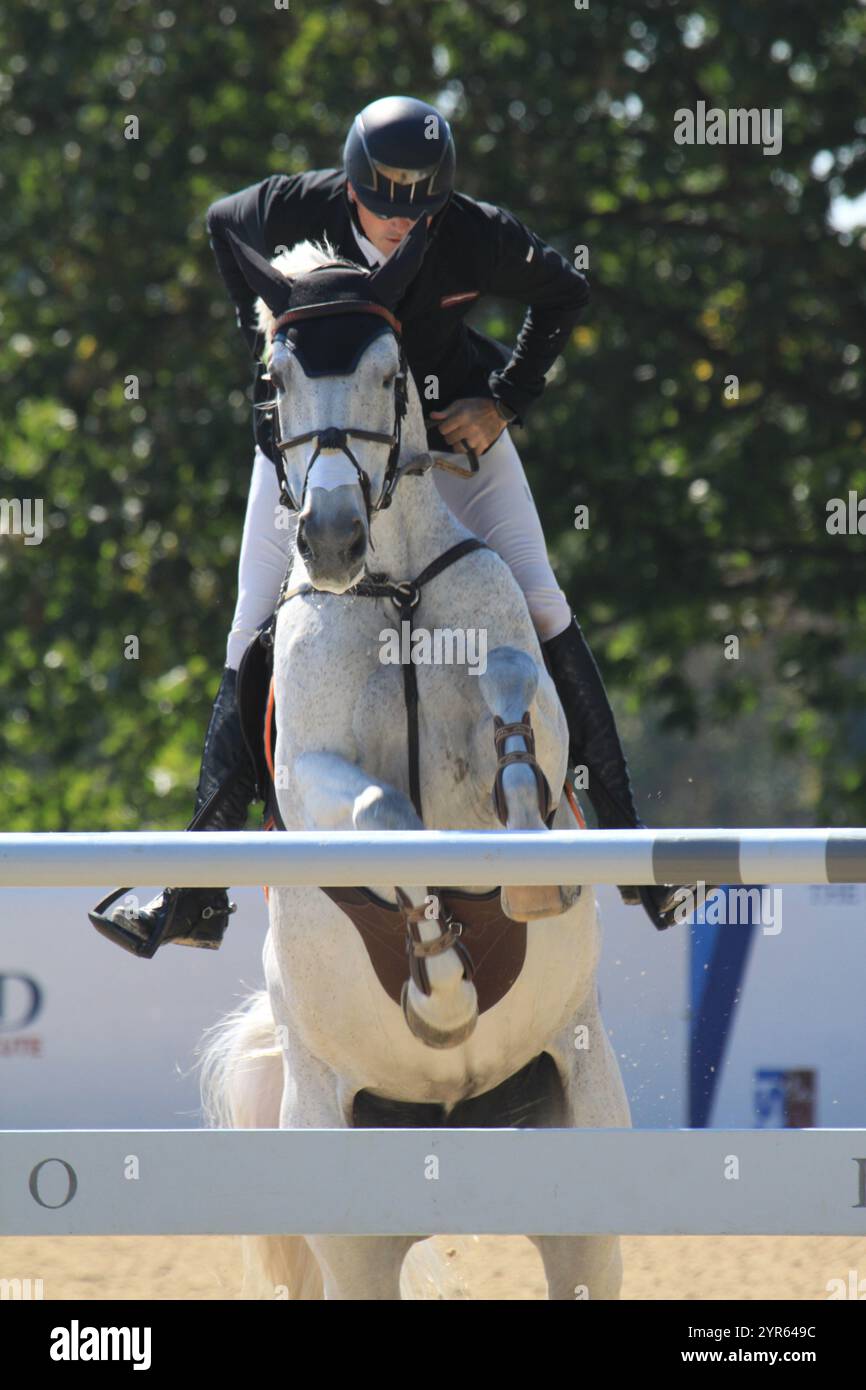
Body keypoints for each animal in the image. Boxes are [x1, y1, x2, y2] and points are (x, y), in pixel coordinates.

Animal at [200, 220, 630, 1299]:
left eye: (393, 375)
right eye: (273, 379)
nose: (330, 537)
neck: (390, 586)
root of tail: (459, 1119)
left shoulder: (526, 724)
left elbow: (518, 737)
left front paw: (521, 871)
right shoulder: (311, 780)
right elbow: (378, 818)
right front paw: (436, 963)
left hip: (582, 1154)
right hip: (347, 1206)